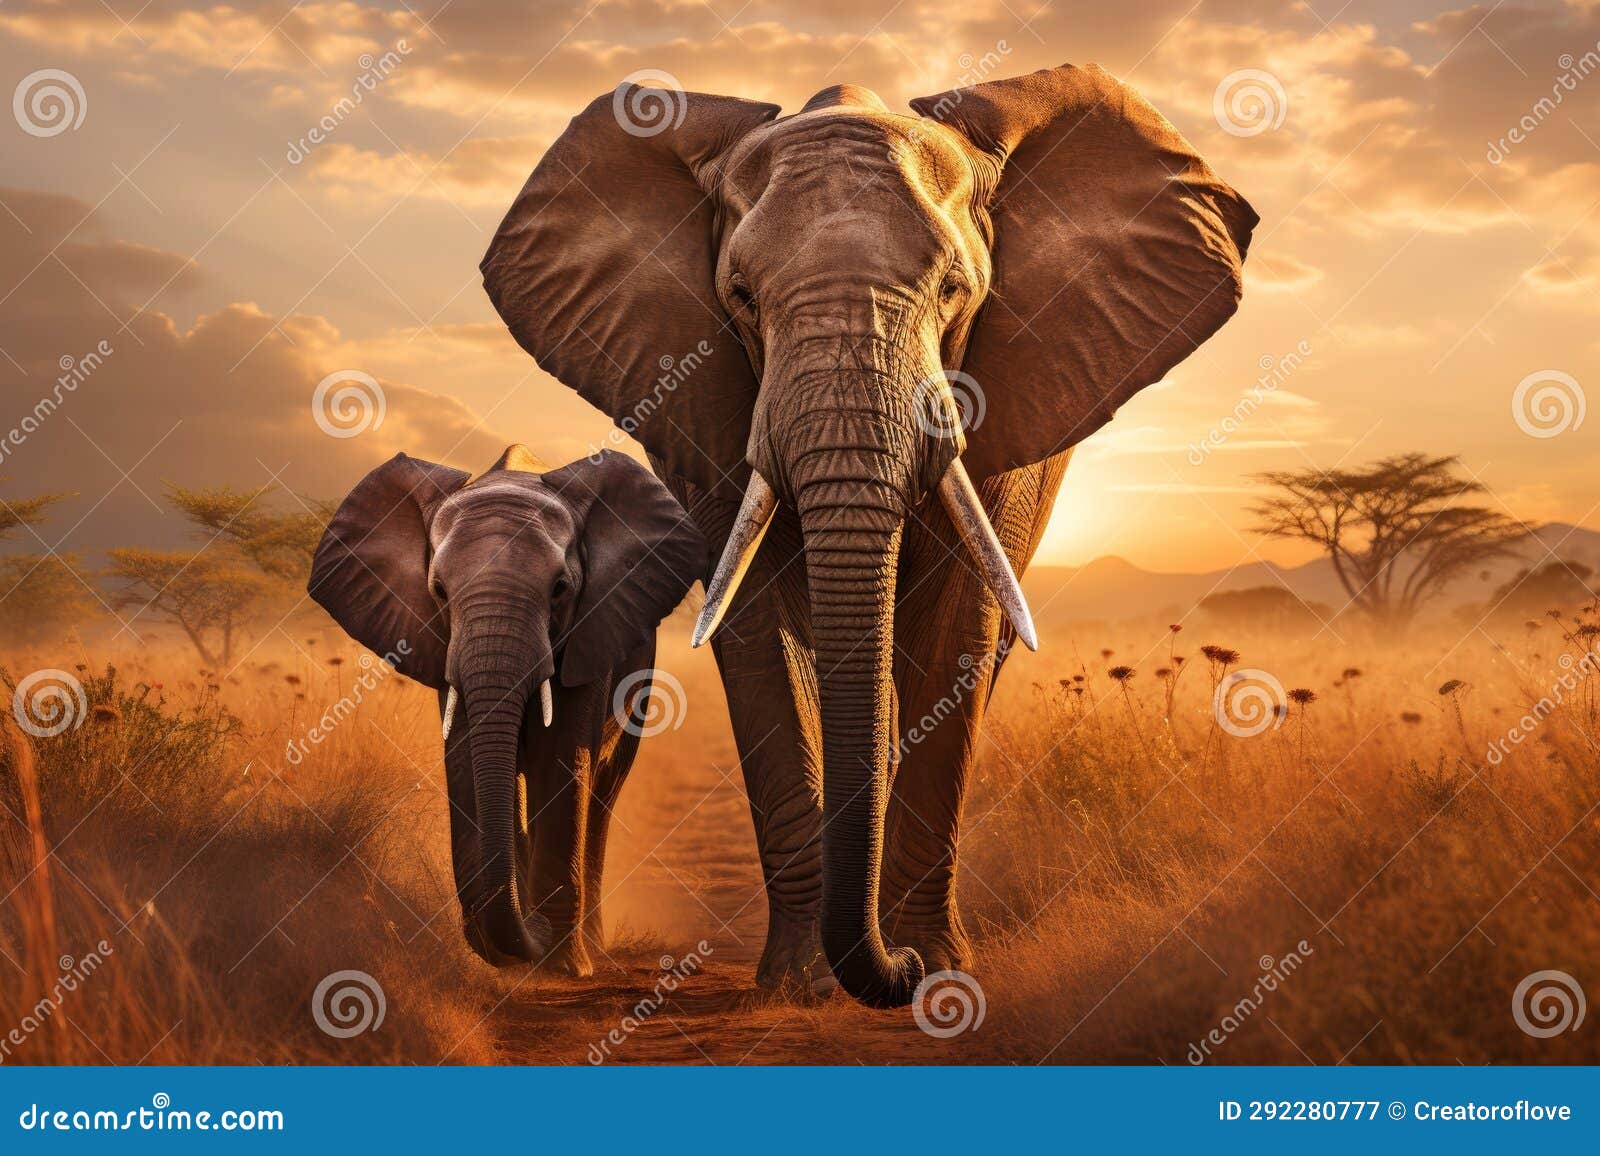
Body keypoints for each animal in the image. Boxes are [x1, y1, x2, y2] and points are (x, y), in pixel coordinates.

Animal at [307, 444, 705, 975]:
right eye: (438, 591)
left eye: (560, 589)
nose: (530, 927)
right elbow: (465, 762)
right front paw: (509, 956)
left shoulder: (590, 631)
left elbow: (562, 763)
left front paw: (564, 967)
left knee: (603, 790)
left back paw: (589, 945)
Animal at [480, 63, 1255, 1006]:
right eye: (740, 298)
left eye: (956, 291)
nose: (900, 971)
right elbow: (758, 631)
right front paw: (804, 983)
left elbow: (955, 623)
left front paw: (935, 969)